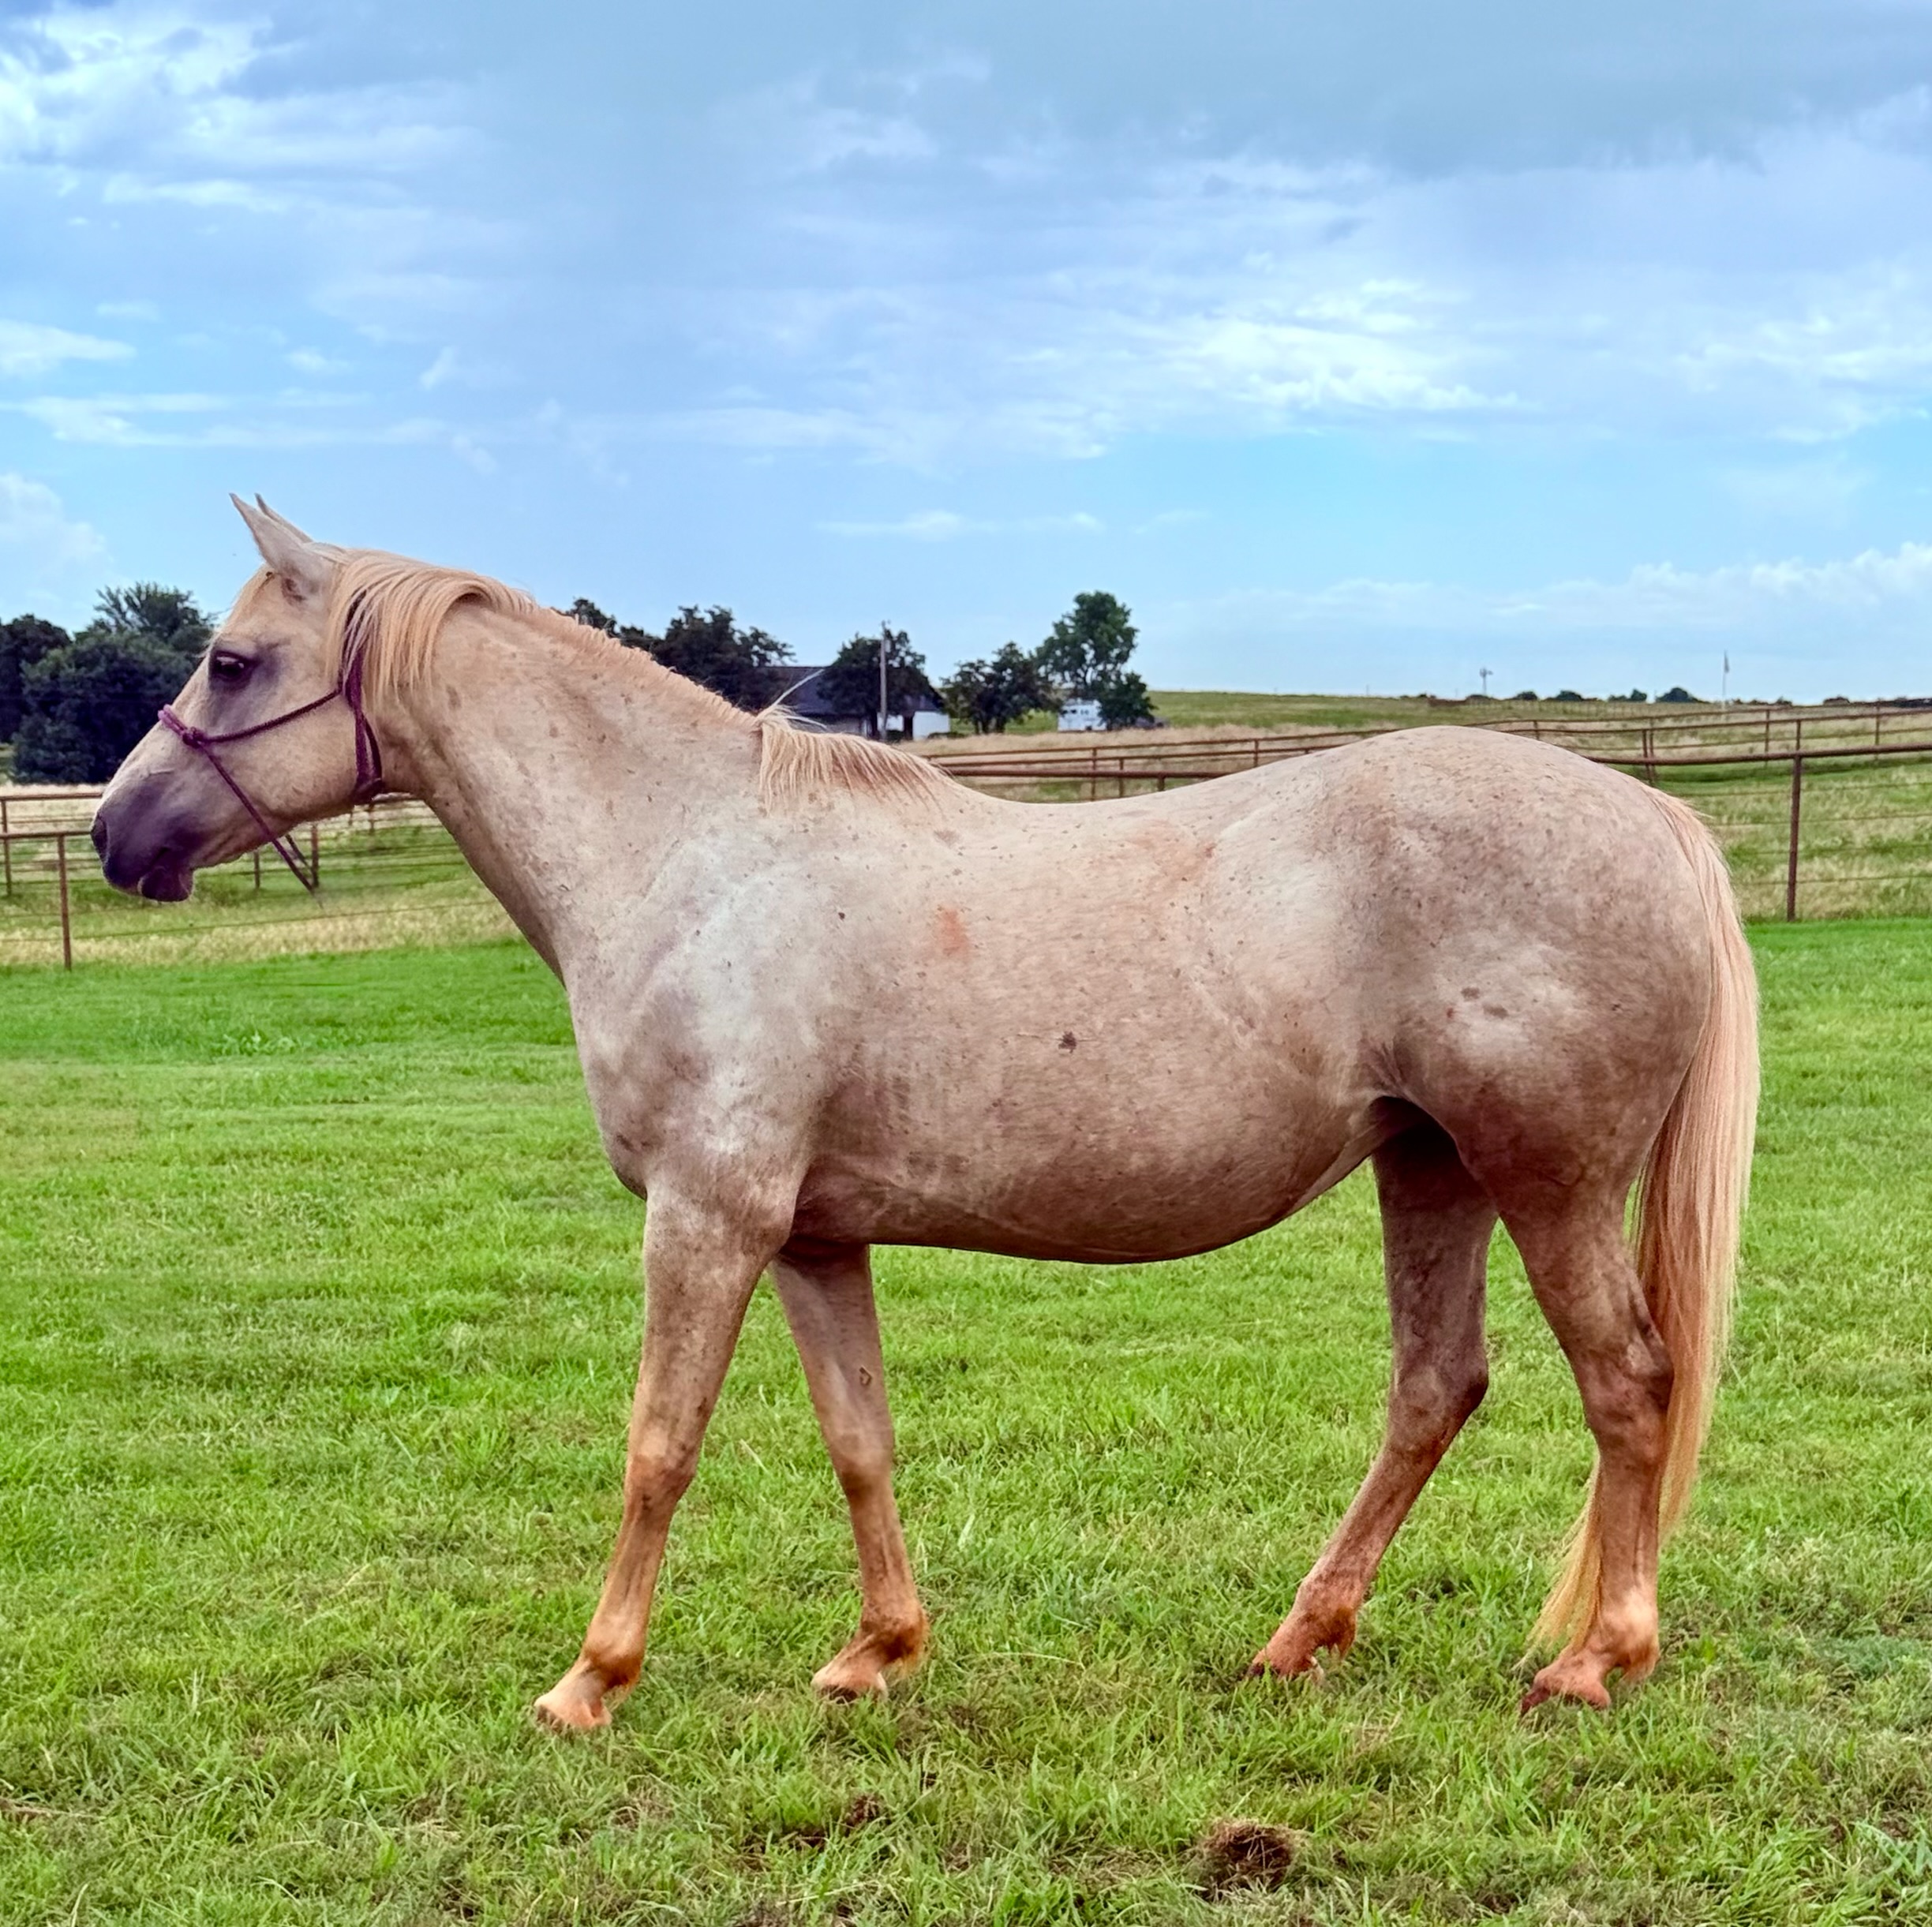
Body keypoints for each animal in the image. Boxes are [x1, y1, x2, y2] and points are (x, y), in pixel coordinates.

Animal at [92, 498, 1758, 1728]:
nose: (115, 833)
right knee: (1434, 1388)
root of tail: (1655, 820)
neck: (689, 857)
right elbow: (859, 1439)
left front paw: (589, 1680)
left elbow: (658, 1442)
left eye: (233, 661)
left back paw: (1593, 1660)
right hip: (1430, 1166)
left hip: (1544, 1179)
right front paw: (877, 1651)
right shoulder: (811, 1238)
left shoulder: (710, 1216)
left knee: (1627, 1386)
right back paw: (1299, 1639)